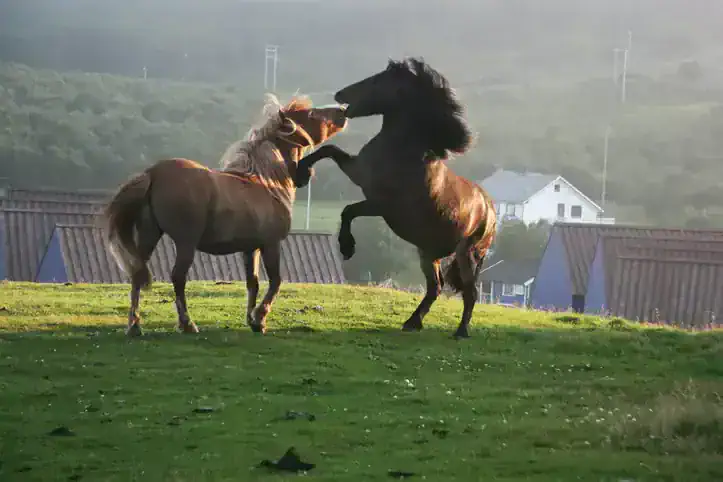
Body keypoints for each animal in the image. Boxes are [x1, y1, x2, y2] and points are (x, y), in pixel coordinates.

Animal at [103, 95, 348, 337]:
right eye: (310, 114)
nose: (343, 111)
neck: (265, 181)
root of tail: (154, 173)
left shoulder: (251, 248)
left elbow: (253, 282)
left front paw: (251, 320)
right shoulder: (271, 244)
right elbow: (276, 281)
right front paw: (260, 318)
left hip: (149, 235)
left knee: (137, 273)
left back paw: (135, 325)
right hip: (185, 242)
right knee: (178, 277)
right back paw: (187, 324)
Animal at [292, 58, 497, 339]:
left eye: (378, 80)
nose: (340, 95)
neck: (404, 151)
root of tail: (490, 209)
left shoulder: (381, 204)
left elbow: (348, 210)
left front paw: (347, 247)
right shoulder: (358, 173)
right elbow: (329, 150)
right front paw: (301, 173)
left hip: (468, 254)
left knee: (470, 291)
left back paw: (461, 331)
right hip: (428, 253)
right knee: (436, 287)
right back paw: (412, 322)